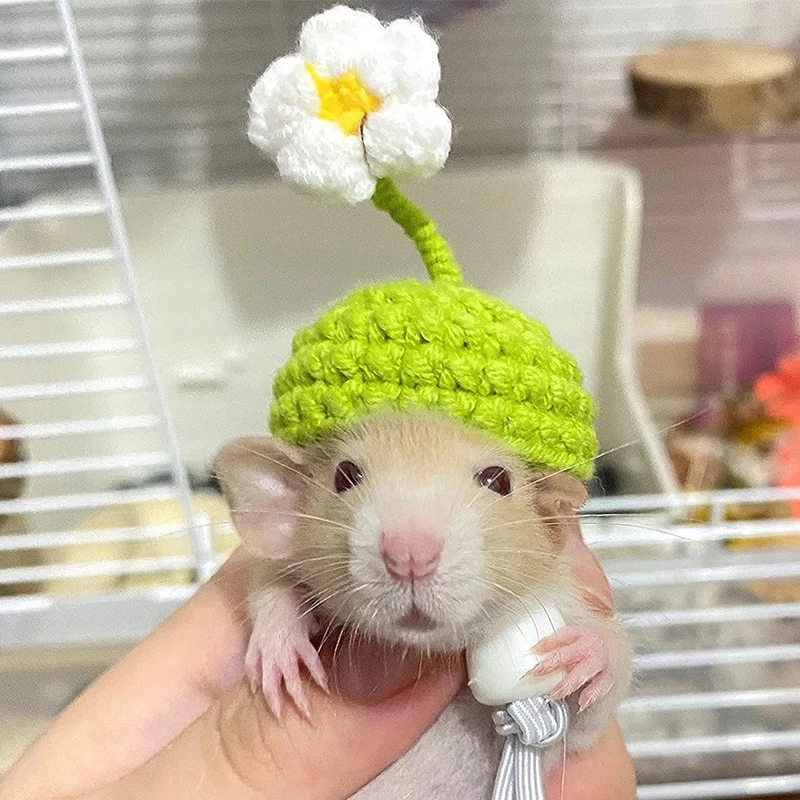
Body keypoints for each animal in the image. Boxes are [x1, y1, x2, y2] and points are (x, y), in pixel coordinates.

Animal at [214, 410, 632, 799]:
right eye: (345, 476)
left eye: (497, 480)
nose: (410, 555)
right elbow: (269, 578)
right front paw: (279, 639)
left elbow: (584, 726)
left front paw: (592, 652)